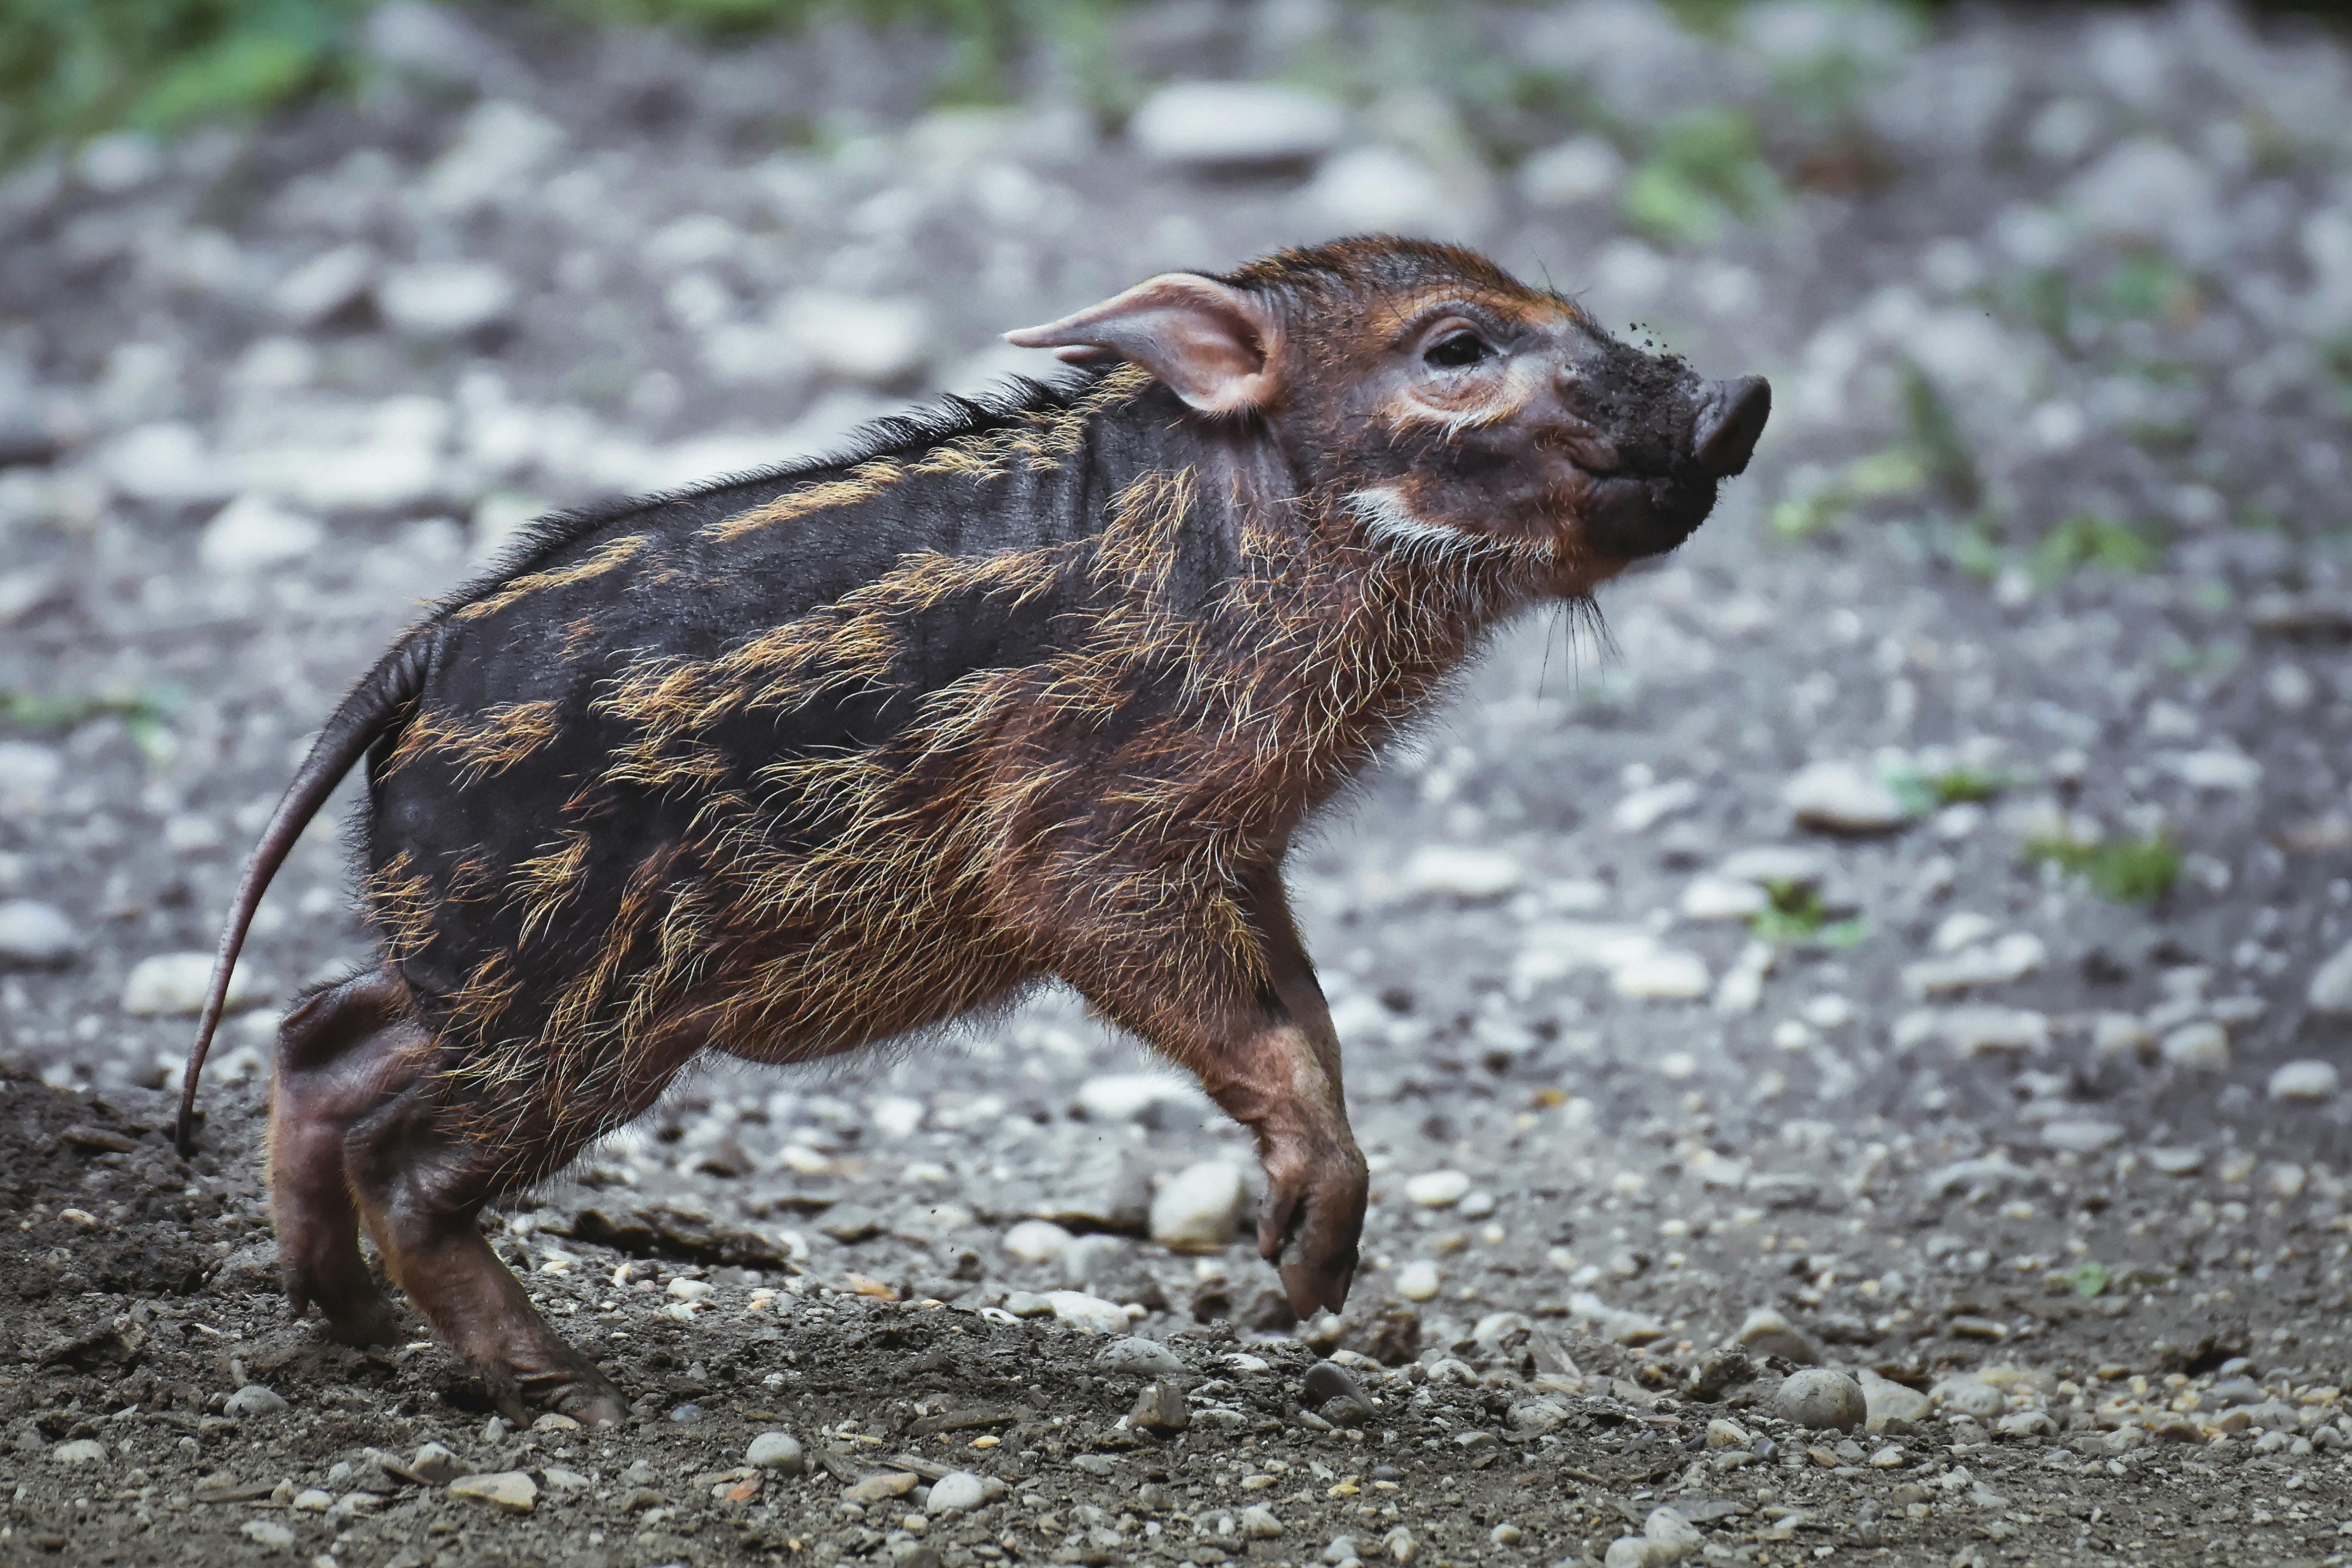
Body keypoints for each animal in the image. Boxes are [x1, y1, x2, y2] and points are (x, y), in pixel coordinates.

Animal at [177, 237, 1768, 1423]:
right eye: (1453, 348)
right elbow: (1246, 1028)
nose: (1737, 395)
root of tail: (418, 661)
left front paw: (1308, 1276)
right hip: (570, 1004)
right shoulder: (1085, 845)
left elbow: (1307, 1023)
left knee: (322, 1036)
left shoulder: (1238, 852)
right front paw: (1304, 1268)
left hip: (490, 968)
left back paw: (352, 1326)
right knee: (409, 1161)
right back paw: (565, 1381)